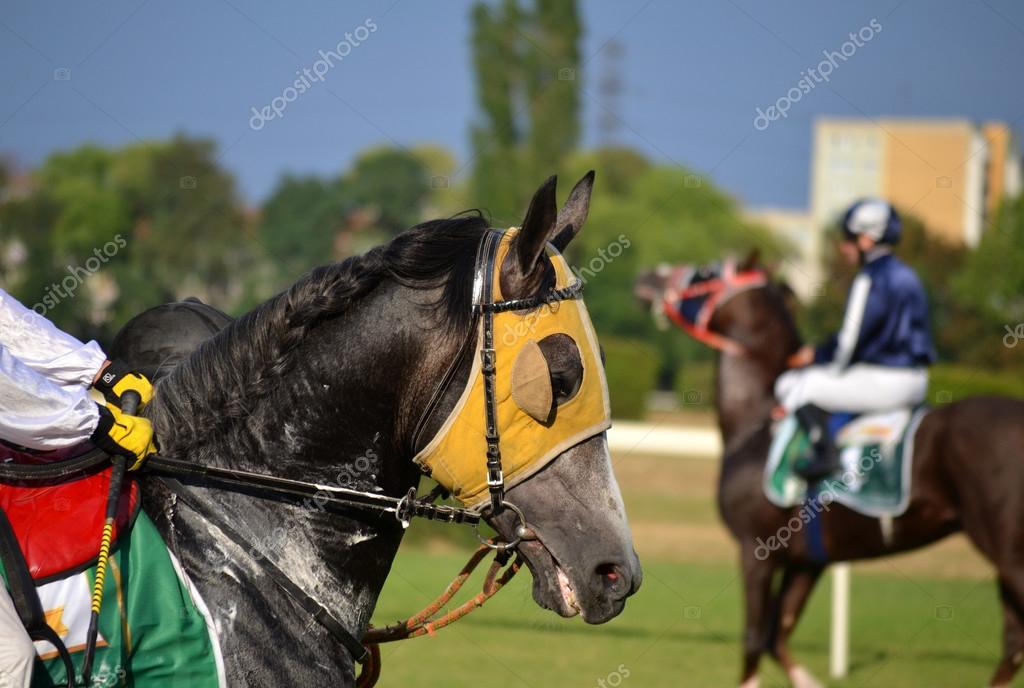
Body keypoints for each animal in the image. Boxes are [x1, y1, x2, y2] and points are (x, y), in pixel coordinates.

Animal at [635, 254, 1024, 688]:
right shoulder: (807, 561)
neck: (757, 422)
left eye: (706, 272)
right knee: (1013, 646)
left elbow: (754, 638)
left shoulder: (756, 550)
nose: (648, 276)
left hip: (1009, 553)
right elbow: (777, 634)